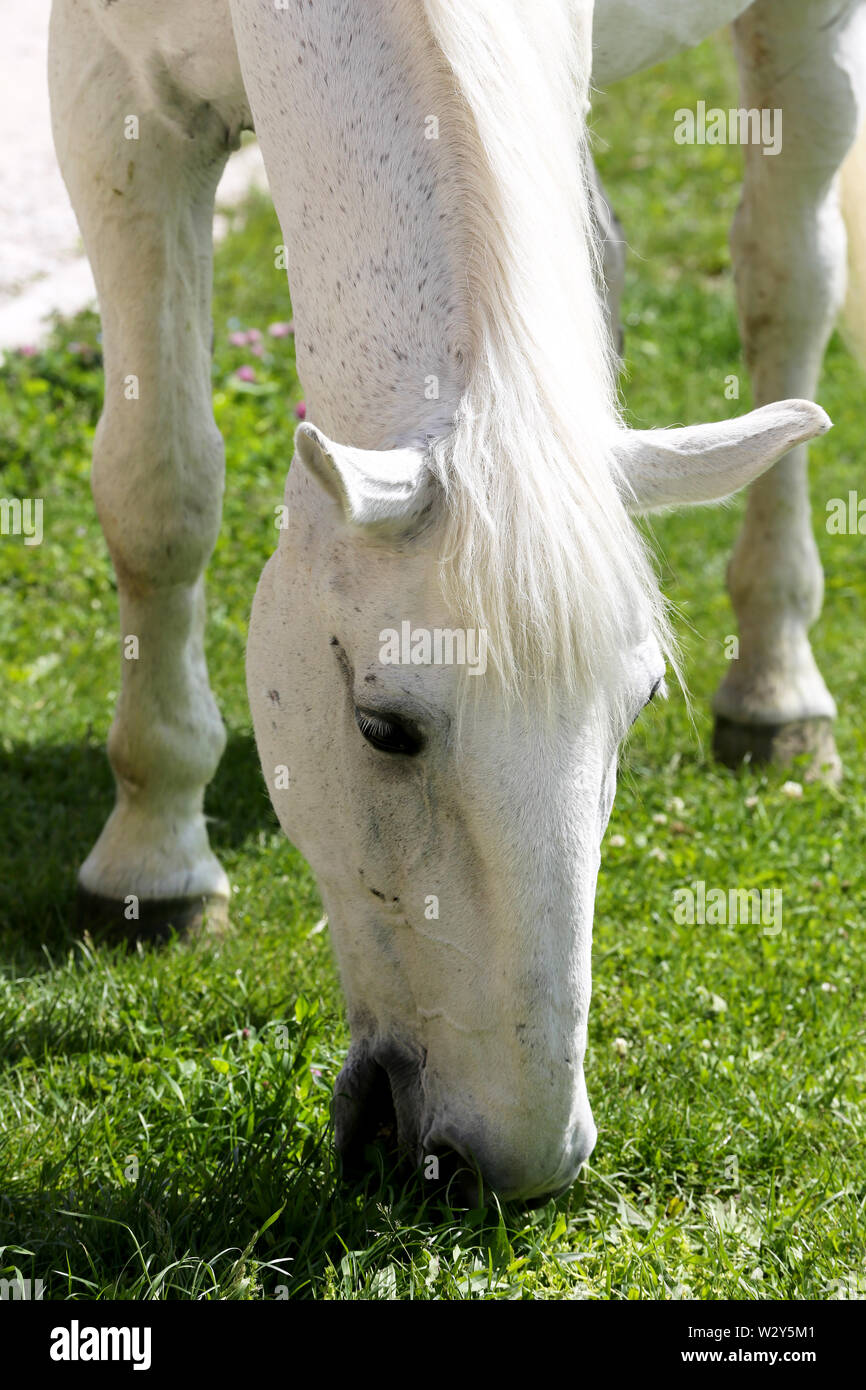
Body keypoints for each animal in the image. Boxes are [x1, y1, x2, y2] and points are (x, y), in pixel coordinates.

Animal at [48, 0, 864, 1202]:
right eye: (382, 729)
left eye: (633, 711)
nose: (504, 1161)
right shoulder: (116, 104)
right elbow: (158, 490)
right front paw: (154, 854)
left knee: (784, 286)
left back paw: (775, 688)